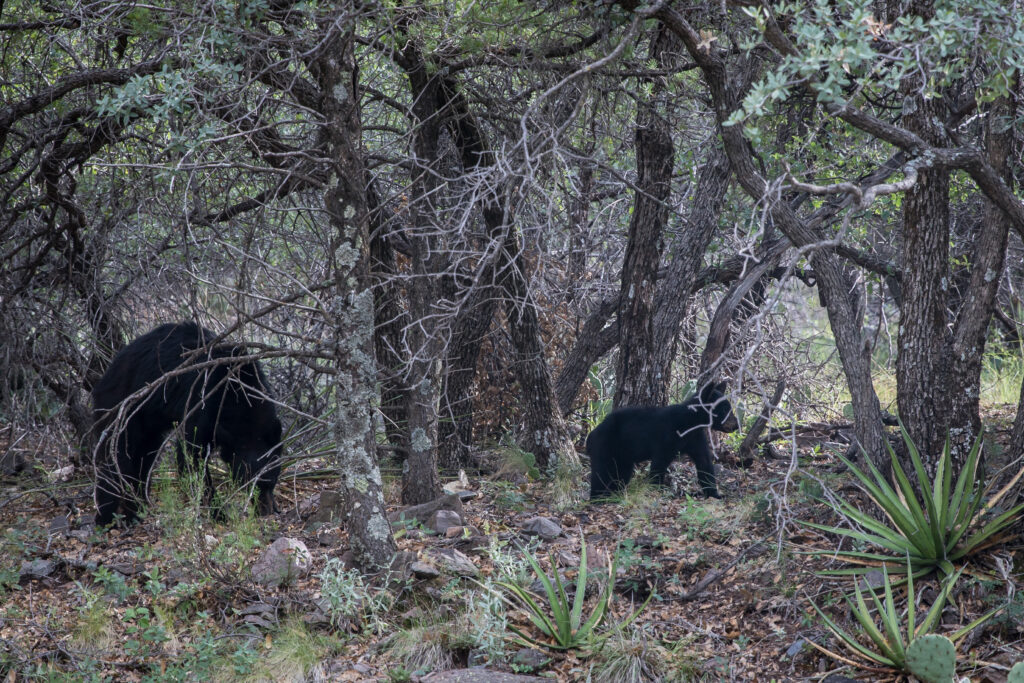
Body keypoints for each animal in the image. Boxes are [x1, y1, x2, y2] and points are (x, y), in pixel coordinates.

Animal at [92, 322, 282, 526]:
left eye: (271, 482)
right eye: (249, 484)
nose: (266, 511)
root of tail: (104, 377)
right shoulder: (203, 401)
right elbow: (191, 456)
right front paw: (219, 513)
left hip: (149, 421)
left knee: (145, 457)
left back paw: (137, 508)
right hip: (121, 407)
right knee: (116, 457)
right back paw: (107, 517)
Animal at [587, 381, 739, 500]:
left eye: (729, 408)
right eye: (724, 410)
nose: (736, 425)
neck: (690, 422)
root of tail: (591, 434)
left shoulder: (695, 438)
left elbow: (704, 463)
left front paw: (715, 494)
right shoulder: (667, 438)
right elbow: (659, 463)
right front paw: (656, 490)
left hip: (623, 457)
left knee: (621, 475)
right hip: (604, 445)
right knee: (600, 473)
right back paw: (597, 498)